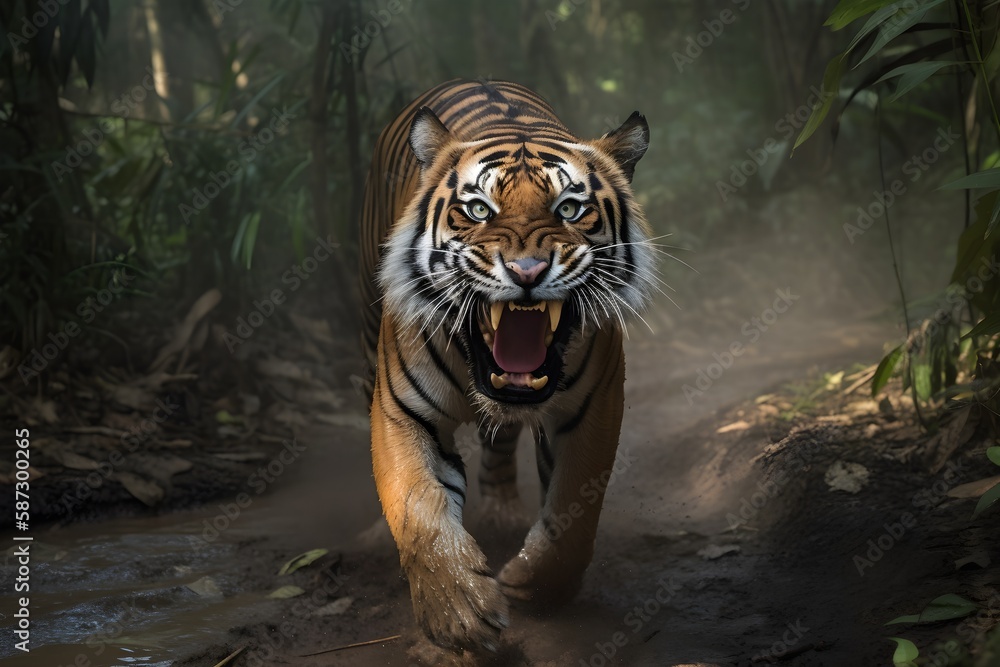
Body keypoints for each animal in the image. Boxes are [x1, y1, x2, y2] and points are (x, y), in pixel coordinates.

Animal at [359, 79, 657, 654]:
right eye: (478, 209)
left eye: (570, 208)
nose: (527, 271)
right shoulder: (401, 410)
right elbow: (418, 507)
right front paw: (458, 614)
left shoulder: (594, 407)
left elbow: (573, 505)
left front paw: (531, 585)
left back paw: (503, 513)